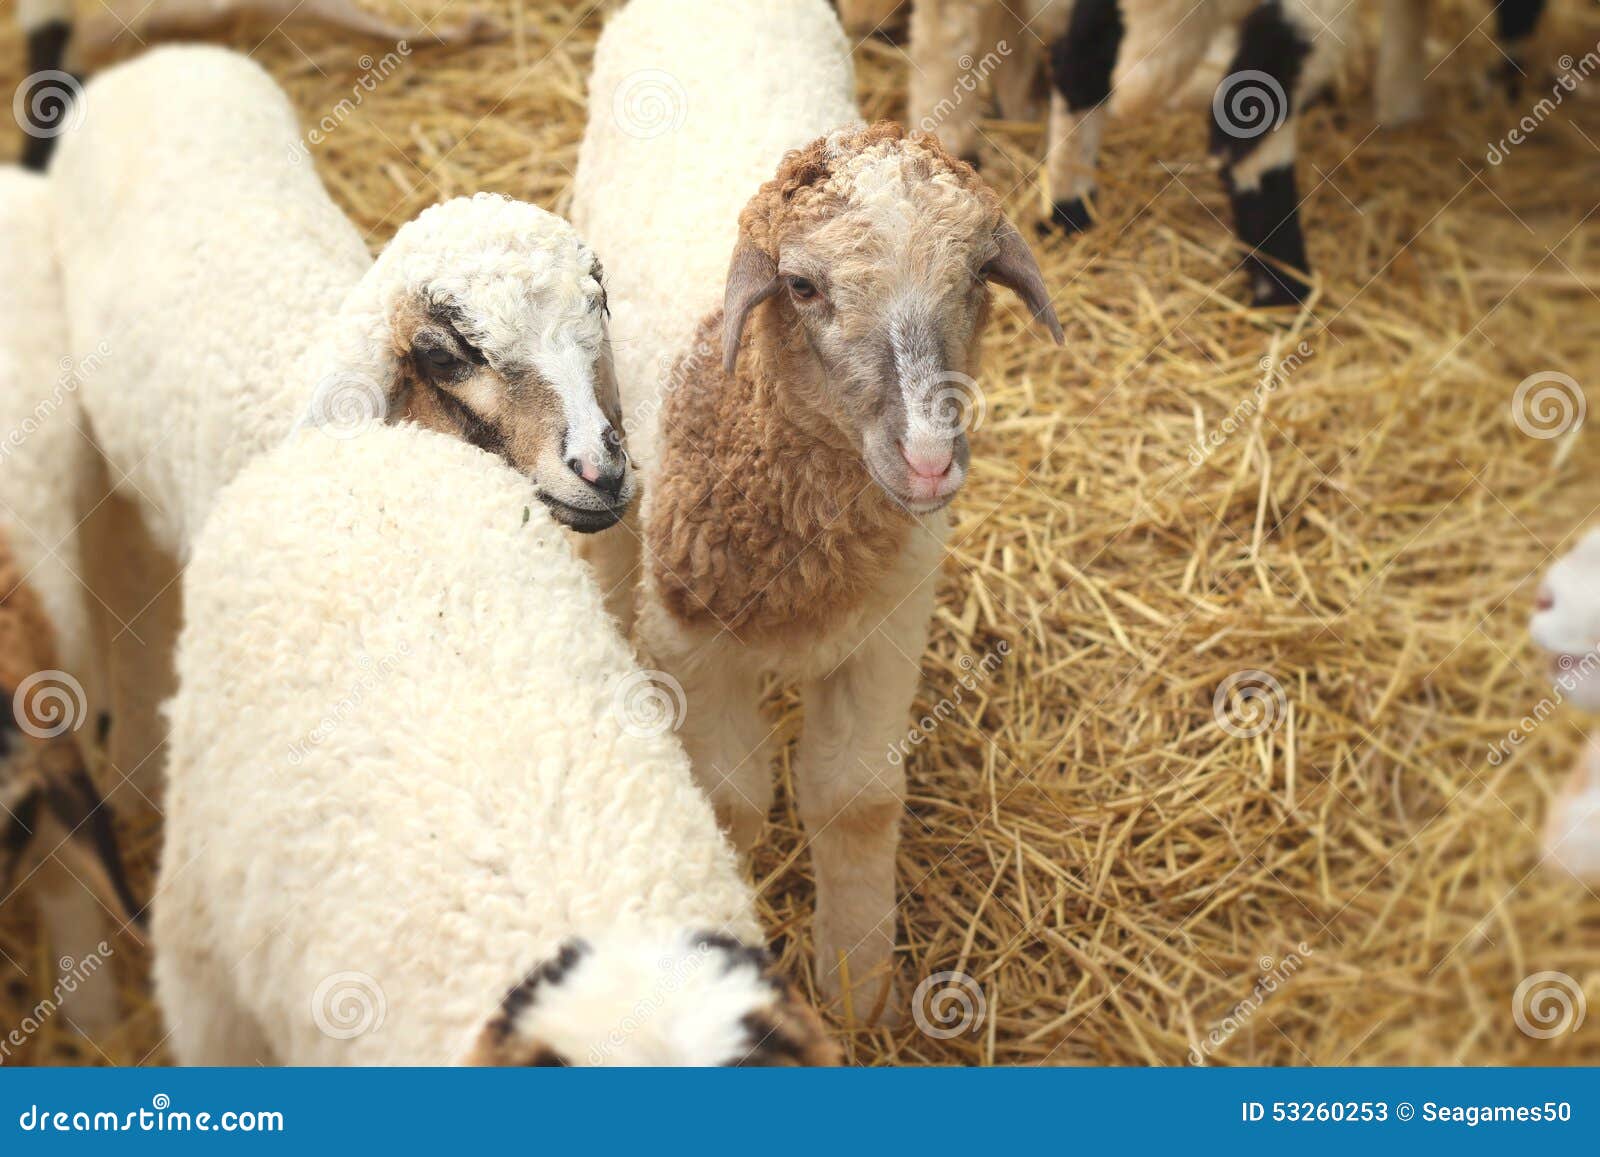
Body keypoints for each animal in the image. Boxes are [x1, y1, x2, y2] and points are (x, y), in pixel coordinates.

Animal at [572, 0, 1062, 1022]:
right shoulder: (695, 648)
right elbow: (733, 805)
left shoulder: (886, 633)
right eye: (800, 287)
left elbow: (856, 799)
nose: (928, 460)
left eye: (975, 281)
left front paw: (857, 982)